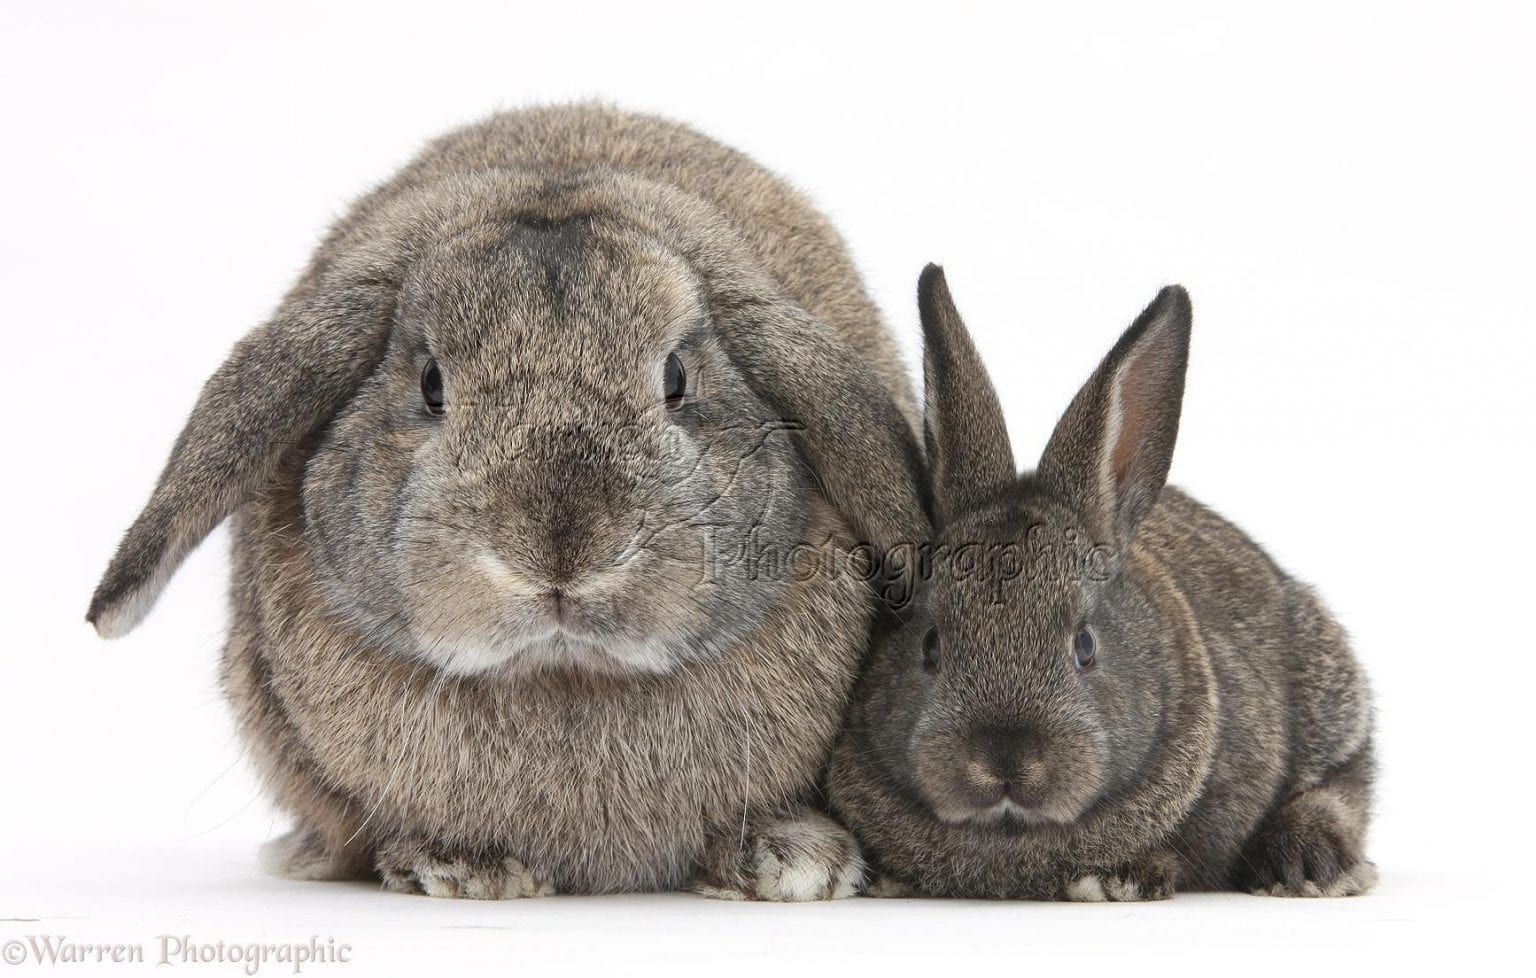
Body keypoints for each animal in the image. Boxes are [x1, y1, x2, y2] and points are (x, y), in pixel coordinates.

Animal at [85, 103, 930, 900]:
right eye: (431, 385)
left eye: (677, 379)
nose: (559, 554)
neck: (565, 674)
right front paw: (463, 866)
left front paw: (794, 861)